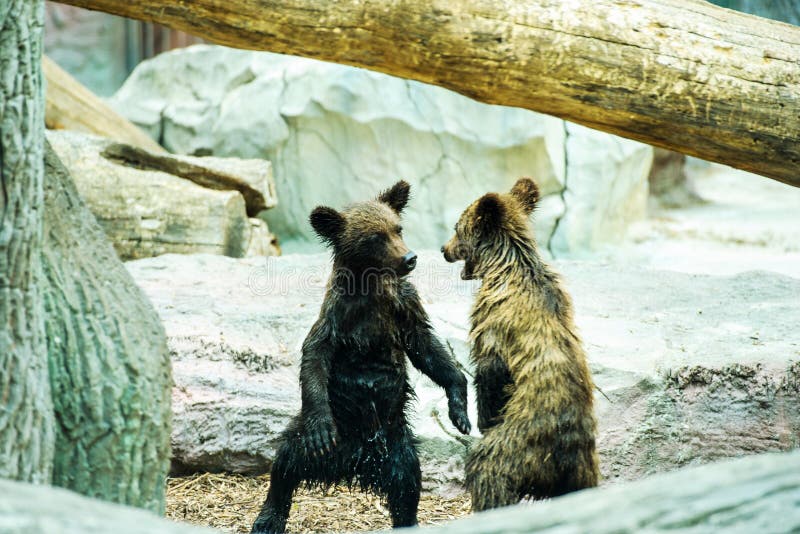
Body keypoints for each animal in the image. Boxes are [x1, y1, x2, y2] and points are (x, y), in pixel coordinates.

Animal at [251, 180, 471, 534]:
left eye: (398, 228)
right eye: (374, 237)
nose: (410, 257)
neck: (372, 289)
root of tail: (353, 461)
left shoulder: (403, 309)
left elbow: (429, 350)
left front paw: (460, 412)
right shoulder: (339, 315)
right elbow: (315, 355)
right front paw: (321, 429)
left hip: (397, 444)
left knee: (408, 484)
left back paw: (408, 520)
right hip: (320, 435)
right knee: (285, 463)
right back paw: (268, 517)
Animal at [441, 177, 599, 511]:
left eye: (457, 228)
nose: (443, 249)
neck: (506, 265)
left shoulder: (494, 327)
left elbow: (489, 372)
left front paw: (482, 419)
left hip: (522, 441)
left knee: (489, 468)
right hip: (584, 467)